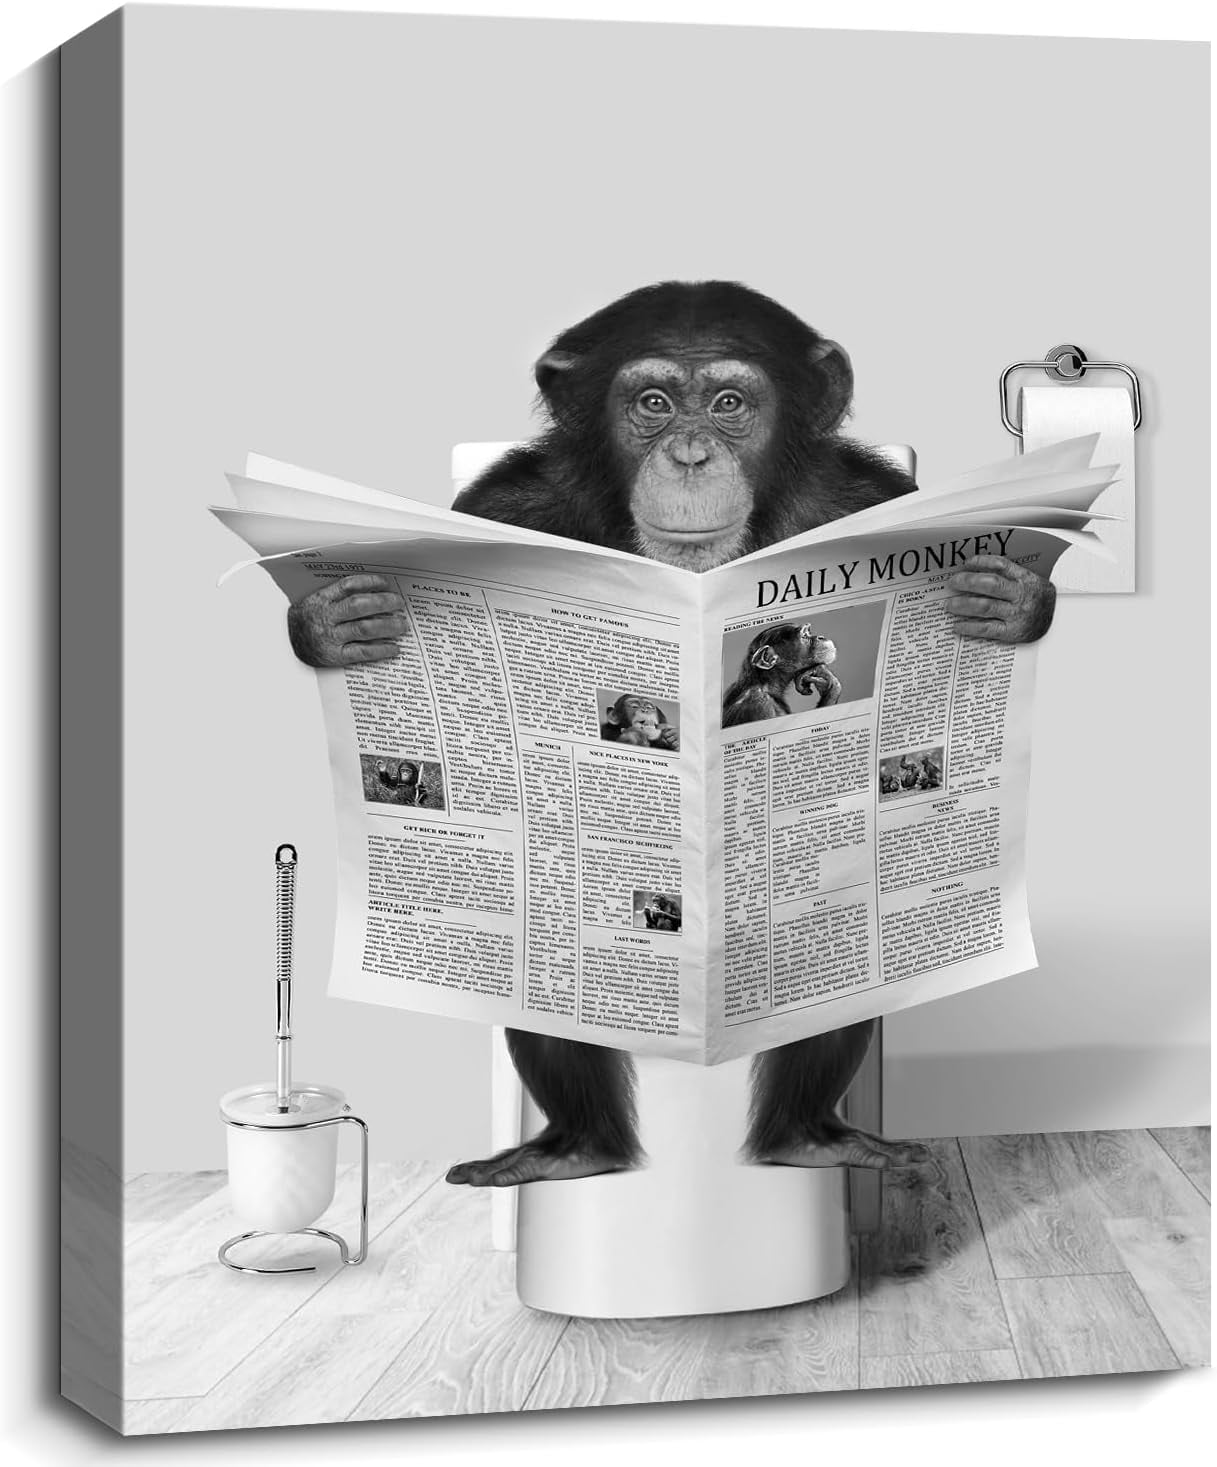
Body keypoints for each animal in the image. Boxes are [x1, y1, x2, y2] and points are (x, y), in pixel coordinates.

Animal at [285, 281, 1057, 1187]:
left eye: (728, 403)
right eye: (651, 403)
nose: (689, 454)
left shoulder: (872, 508)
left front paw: (1002, 598)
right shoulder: (500, 512)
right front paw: (342, 619)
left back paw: (808, 1135)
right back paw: (572, 1145)